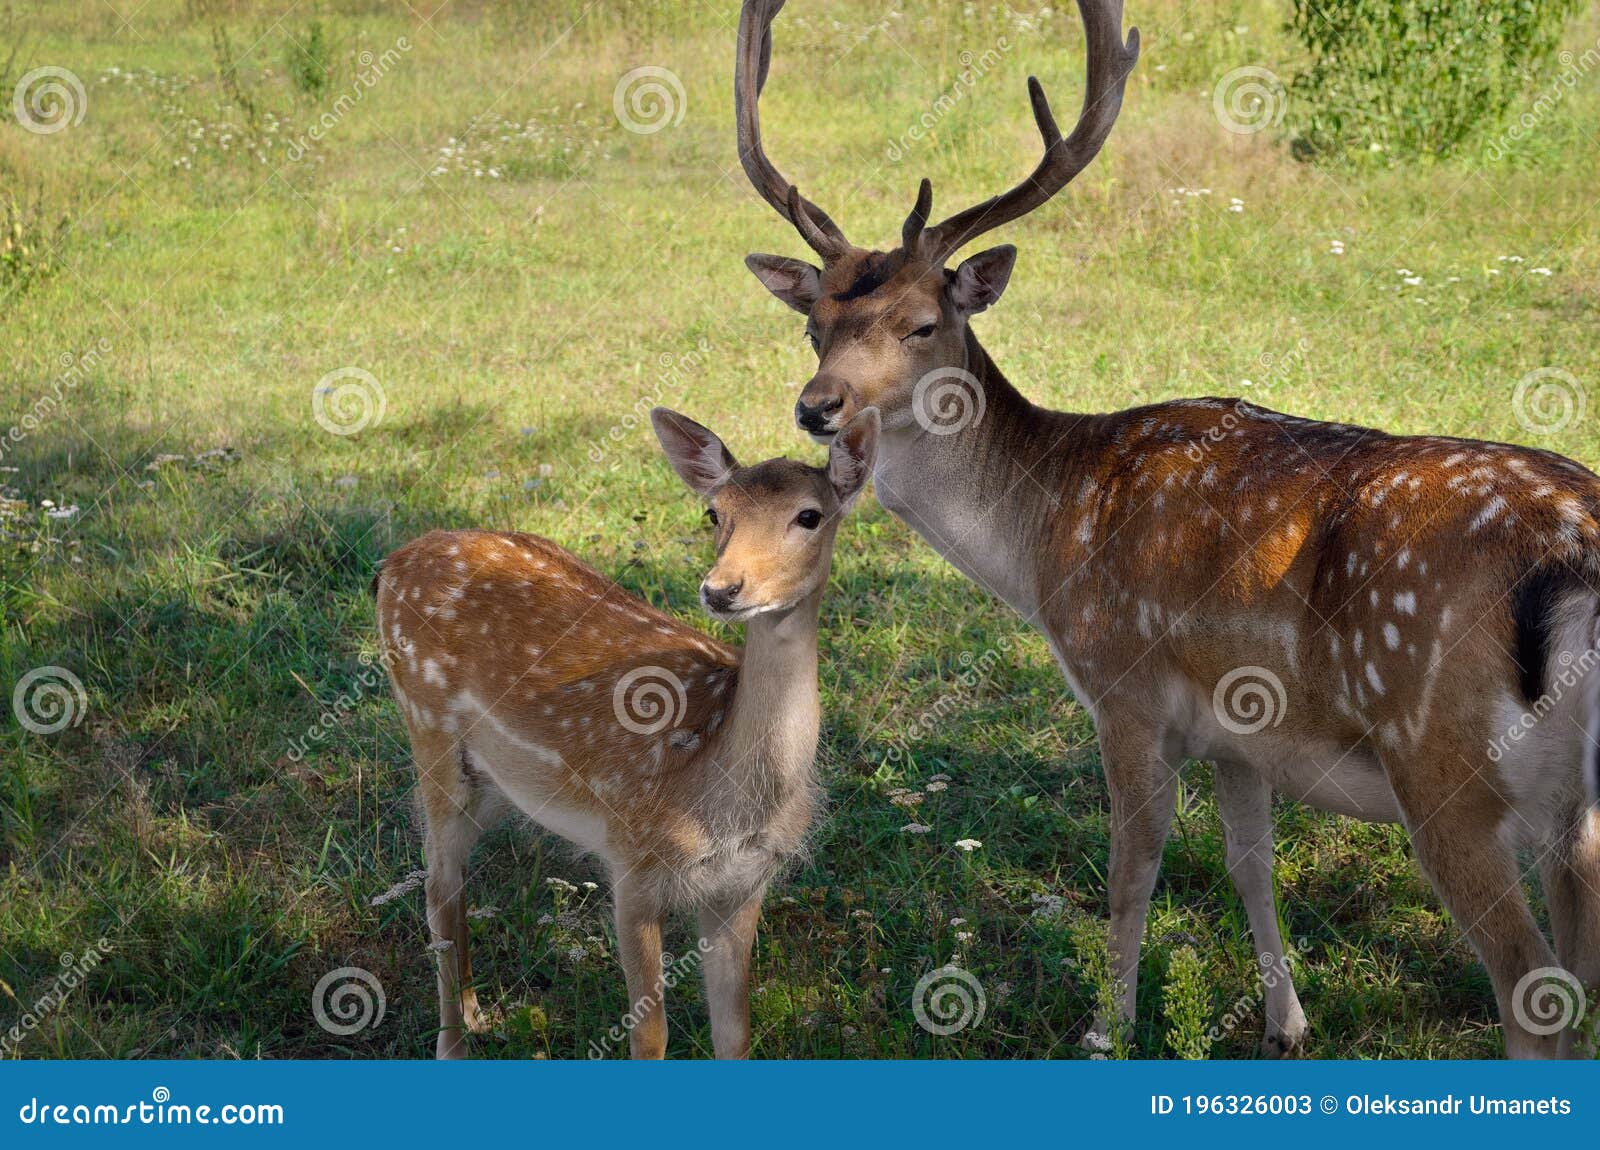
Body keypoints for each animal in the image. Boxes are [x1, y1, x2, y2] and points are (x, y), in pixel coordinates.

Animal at [374, 406, 880, 1058]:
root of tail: (391, 563)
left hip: (493, 782)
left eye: (809, 515)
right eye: (714, 513)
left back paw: (477, 1012)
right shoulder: (631, 861)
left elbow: (735, 1029)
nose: (722, 589)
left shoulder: (743, 884)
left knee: (455, 887)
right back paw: (452, 1043)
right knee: (437, 886)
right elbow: (650, 1032)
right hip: (428, 730)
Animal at [733, 0, 1600, 1057]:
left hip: (1449, 771)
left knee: (1537, 998)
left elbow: (1132, 870)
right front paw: (1285, 1022)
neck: (1041, 540)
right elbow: (1249, 863)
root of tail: (1577, 548)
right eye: (813, 323)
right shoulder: (1243, 734)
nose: (817, 407)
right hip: (1573, 815)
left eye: (921, 324)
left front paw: (1108, 1028)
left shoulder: (1127, 686)